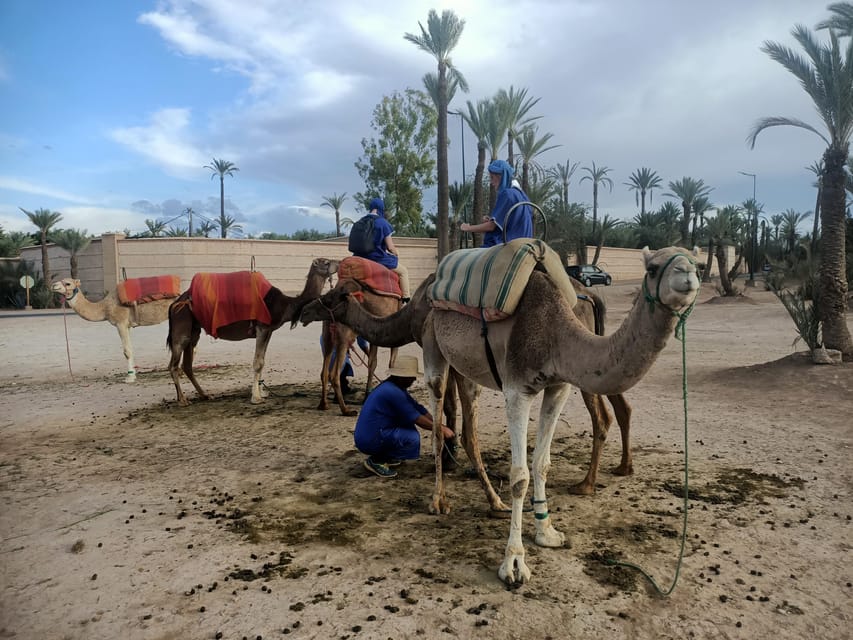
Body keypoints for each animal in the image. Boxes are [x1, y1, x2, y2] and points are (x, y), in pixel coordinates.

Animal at [166, 258, 337, 406]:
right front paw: (256, 398)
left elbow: (262, 361)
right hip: (182, 325)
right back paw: (183, 400)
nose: (338, 263)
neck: (285, 305)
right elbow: (258, 363)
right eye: (326, 262)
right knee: (173, 364)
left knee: (187, 365)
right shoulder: (262, 328)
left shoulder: (269, 331)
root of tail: (175, 303)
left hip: (194, 330)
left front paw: (261, 393)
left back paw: (204, 395)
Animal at [300, 273, 632, 505]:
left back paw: (586, 484)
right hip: (595, 355)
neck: (412, 312)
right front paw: (452, 458)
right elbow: (452, 409)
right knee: (621, 406)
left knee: (602, 416)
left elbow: (449, 407)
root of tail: (589, 295)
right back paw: (622, 468)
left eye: (333, 296)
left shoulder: (443, 351)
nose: (306, 310)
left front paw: (449, 459)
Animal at [422, 246, 700, 584]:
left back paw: (491, 501)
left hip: (467, 367)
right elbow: (519, 476)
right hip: (432, 342)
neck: (555, 334)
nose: (686, 274)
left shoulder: (558, 387)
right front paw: (514, 563)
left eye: (698, 265)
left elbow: (541, 465)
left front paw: (547, 533)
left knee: (467, 422)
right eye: (653, 268)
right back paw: (438, 501)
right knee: (437, 421)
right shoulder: (517, 390)